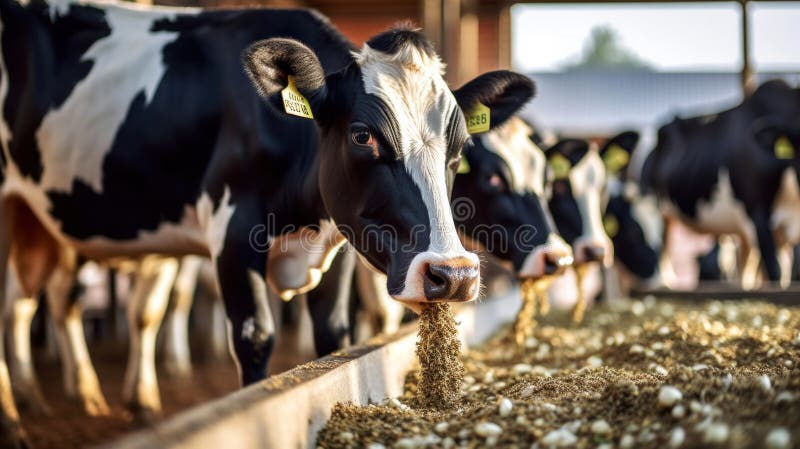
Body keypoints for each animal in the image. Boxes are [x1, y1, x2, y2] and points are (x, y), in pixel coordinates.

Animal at [0, 0, 534, 444]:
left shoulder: (338, 239)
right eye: (362, 136)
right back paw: (20, 418)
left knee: (27, 302)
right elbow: (254, 334)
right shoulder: (232, 231)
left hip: (34, 223)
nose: (454, 274)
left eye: (461, 147)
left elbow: (334, 332)